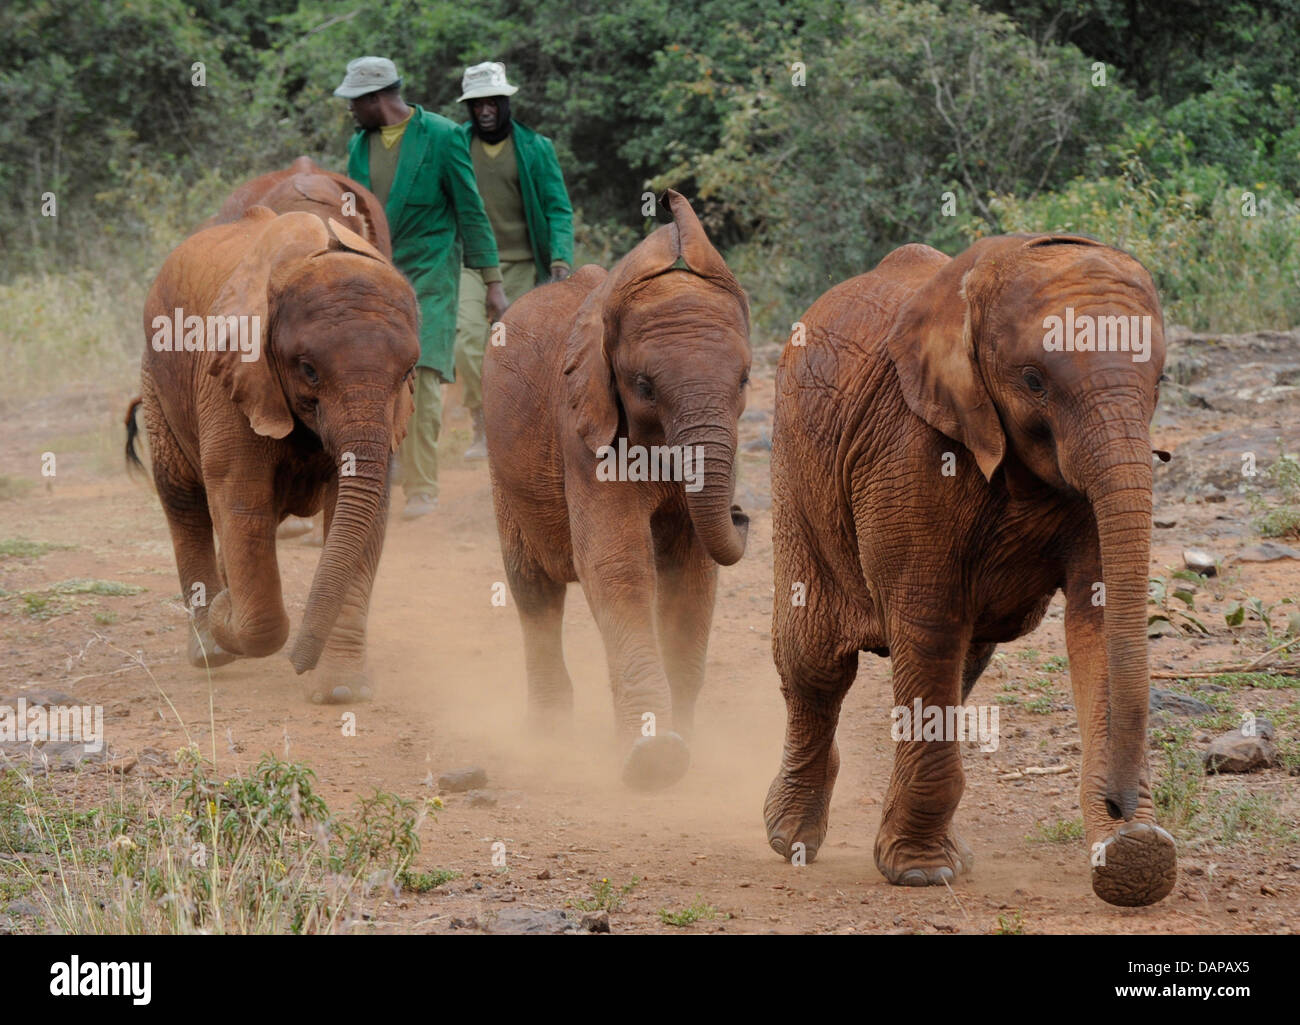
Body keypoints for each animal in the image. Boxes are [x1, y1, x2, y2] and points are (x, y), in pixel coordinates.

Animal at [125, 207, 419, 703]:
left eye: (408, 373)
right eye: (309, 370)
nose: (298, 666)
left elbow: (364, 513)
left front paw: (342, 692)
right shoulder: (229, 377)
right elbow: (242, 502)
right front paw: (228, 615)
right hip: (156, 379)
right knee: (184, 501)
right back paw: (210, 649)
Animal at [483, 190, 751, 790]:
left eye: (747, 380)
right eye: (645, 387)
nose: (743, 514)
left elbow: (691, 572)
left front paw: (683, 745)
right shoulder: (582, 426)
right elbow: (616, 562)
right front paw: (655, 760)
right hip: (501, 464)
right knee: (533, 587)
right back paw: (549, 734)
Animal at [765, 233, 1176, 907]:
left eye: (1161, 378)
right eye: (1033, 381)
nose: (1121, 808)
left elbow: (1099, 622)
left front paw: (1136, 861)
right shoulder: (911, 447)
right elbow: (929, 618)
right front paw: (920, 874)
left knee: (963, 664)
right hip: (796, 470)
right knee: (816, 664)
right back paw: (790, 840)